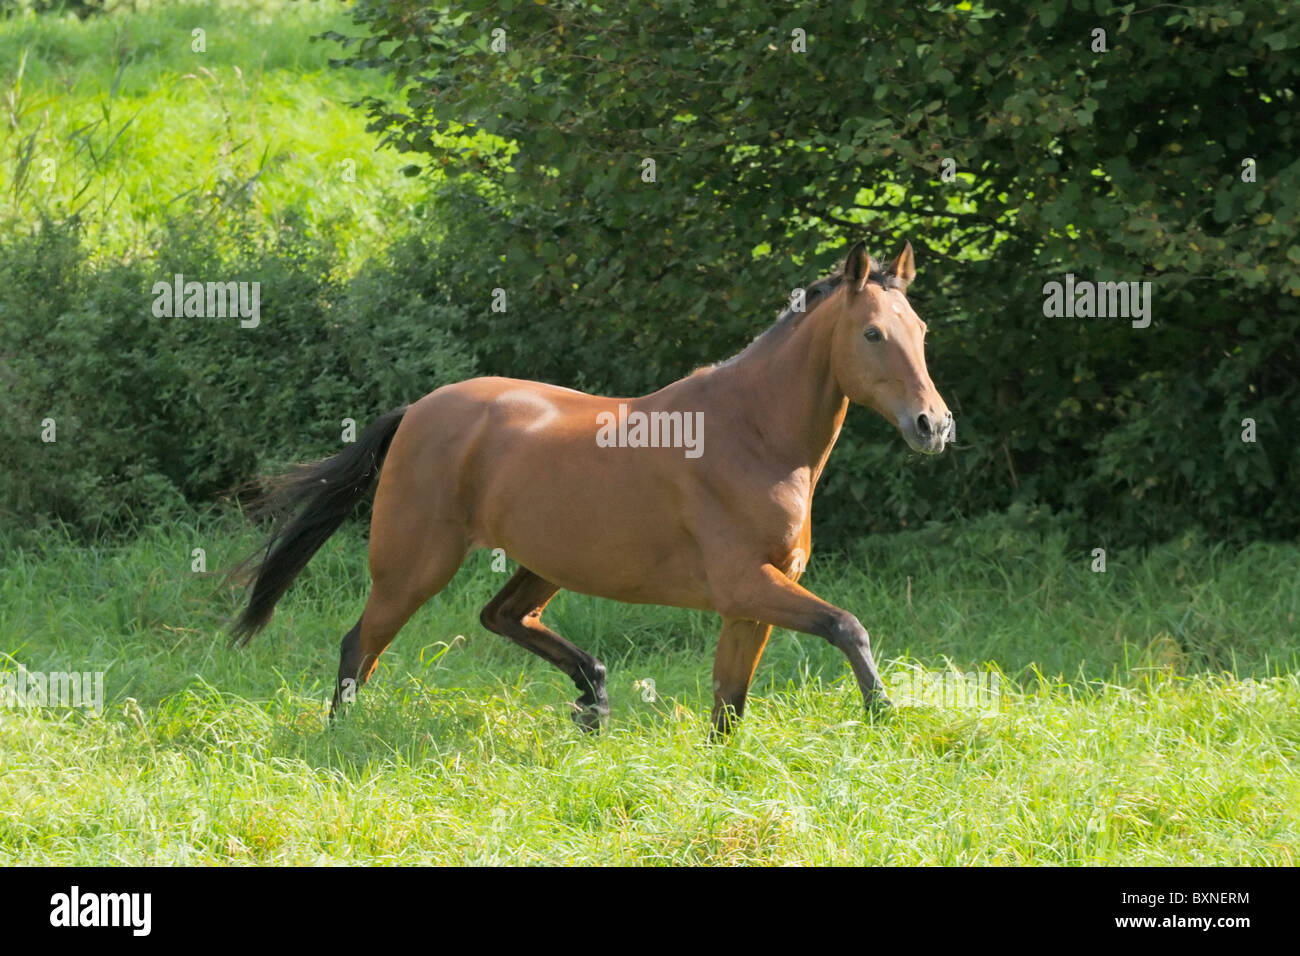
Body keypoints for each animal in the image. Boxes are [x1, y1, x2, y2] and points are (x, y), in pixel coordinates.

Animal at [231, 239, 956, 738]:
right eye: (872, 334)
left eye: (921, 333)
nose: (935, 425)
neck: (754, 436)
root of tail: (416, 411)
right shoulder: (745, 585)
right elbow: (847, 626)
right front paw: (883, 713)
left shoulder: (751, 603)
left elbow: (728, 707)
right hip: (415, 566)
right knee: (361, 647)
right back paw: (342, 736)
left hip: (543, 563)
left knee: (500, 616)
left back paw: (594, 694)